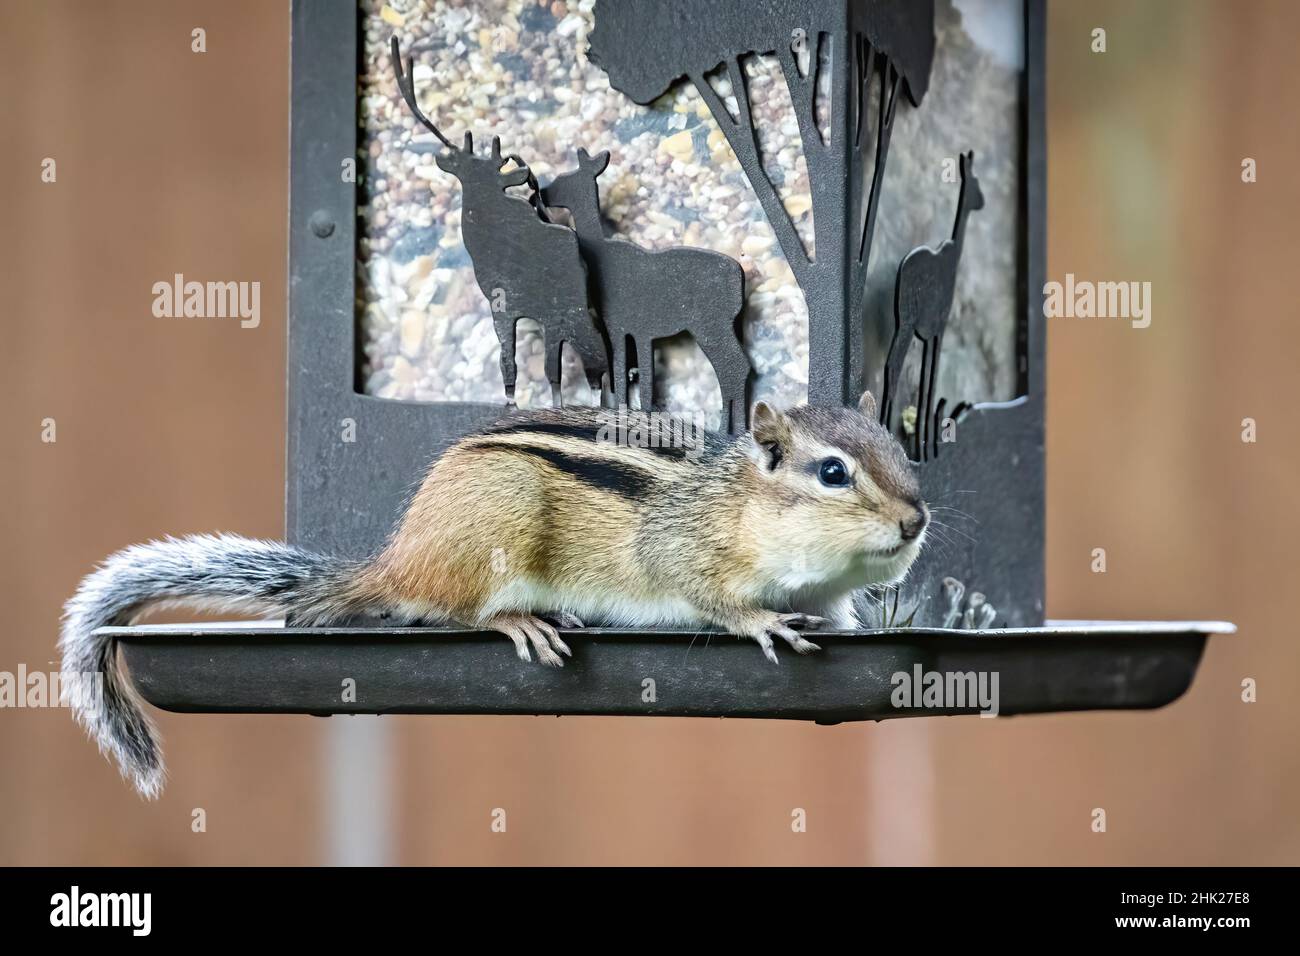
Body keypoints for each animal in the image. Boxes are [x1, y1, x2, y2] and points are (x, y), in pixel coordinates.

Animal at [60, 390, 928, 798]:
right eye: (832, 472)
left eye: (900, 449)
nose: (918, 518)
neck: (741, 501)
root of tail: (399, 559)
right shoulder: (682, 552)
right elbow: (713, 597)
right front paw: (764, 624)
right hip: (494, 533)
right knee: (462, 610)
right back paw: (524, 620)